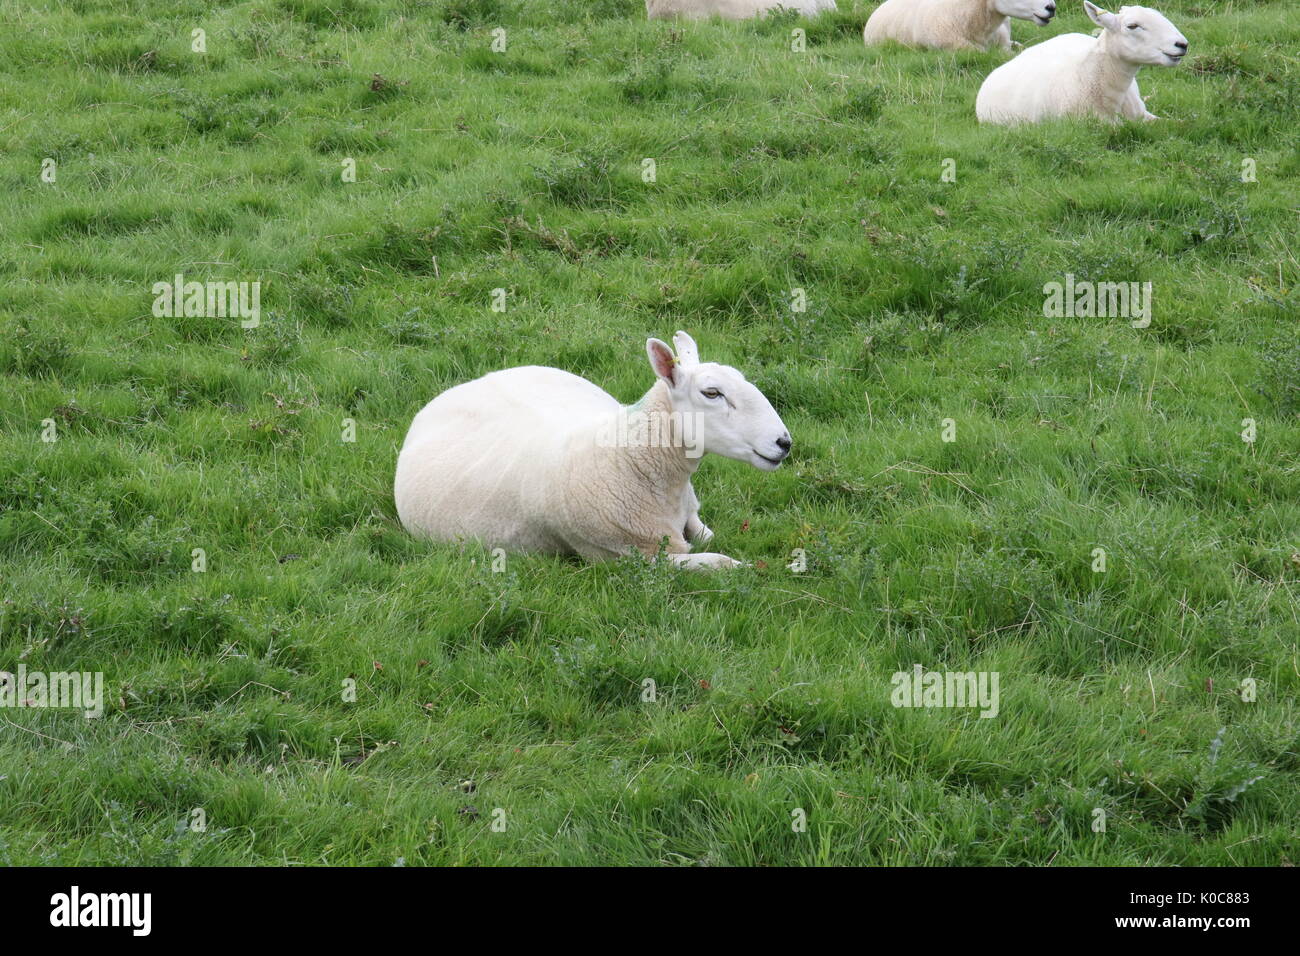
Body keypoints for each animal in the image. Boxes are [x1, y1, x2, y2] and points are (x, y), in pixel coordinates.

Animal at [394, 331, 792, 571]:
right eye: (712, 393)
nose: (783, 443)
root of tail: (466, 385)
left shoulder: (688, 516)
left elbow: (708, 536)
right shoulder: (627, 558)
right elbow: (719, 561)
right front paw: (753, 569)